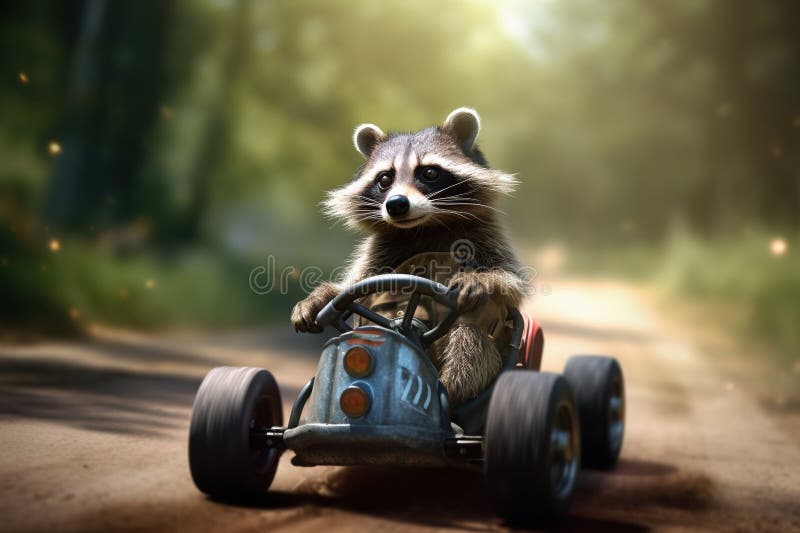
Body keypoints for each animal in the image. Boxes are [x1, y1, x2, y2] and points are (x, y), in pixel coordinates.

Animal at [291, 108, 530, 406]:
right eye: (385, 179)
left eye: (429, 172)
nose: (396, 205)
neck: (426, 225)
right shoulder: (381, 249)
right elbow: (356, 284)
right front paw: (322, 296)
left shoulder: (486, 235)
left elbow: (513, 282)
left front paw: (482, 280)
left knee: (470, 332)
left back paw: (456, 391)